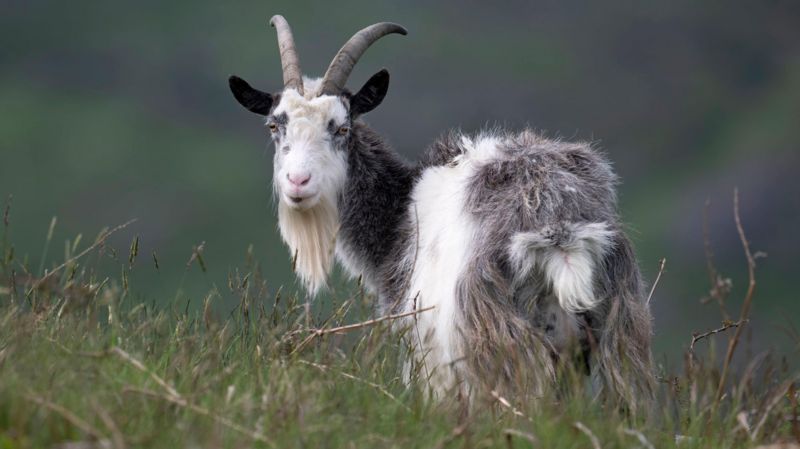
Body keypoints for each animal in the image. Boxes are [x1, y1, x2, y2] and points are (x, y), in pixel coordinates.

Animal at [228, 16, 654, 411]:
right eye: (274, 126)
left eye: (342, 128)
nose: (297, 181)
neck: (401, 211)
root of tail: (559, 230)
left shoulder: (426, 355)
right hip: (618, 339)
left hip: (496, 346)